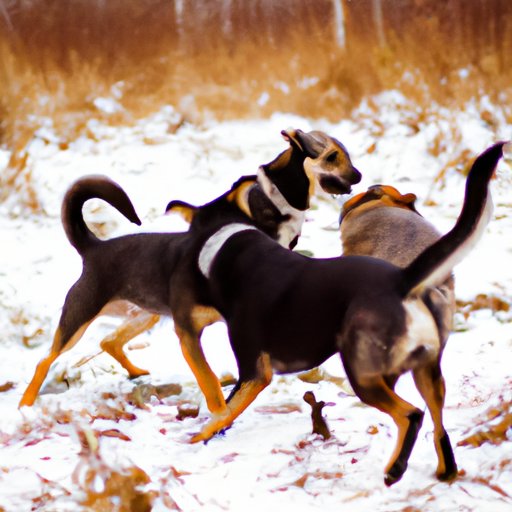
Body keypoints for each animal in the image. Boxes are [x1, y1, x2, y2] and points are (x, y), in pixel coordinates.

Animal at [19, 129, 360, 412]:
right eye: (332, 156)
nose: (357, 176)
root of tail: (93, 248)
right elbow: (210, 380)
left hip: (145, 313)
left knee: (109, 341)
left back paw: (135, 372)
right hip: (79, 317)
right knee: (44, 361)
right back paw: (26, 402)